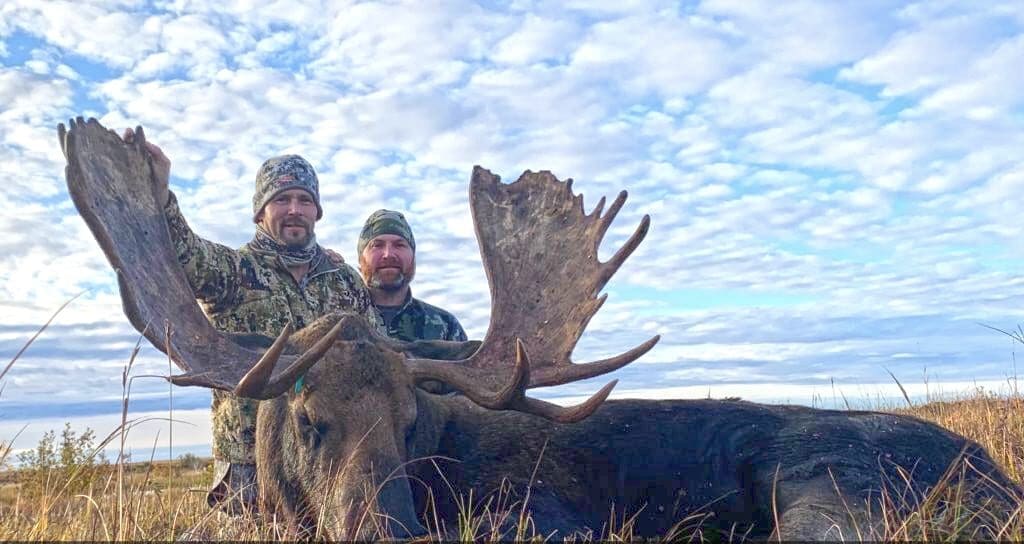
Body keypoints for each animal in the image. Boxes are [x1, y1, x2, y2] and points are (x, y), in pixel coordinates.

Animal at [60, 116, 1020, 541]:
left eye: (413, 424)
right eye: (306, 419)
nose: (387, 531)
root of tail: (1001, 480)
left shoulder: (543, 520)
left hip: (825, 493)